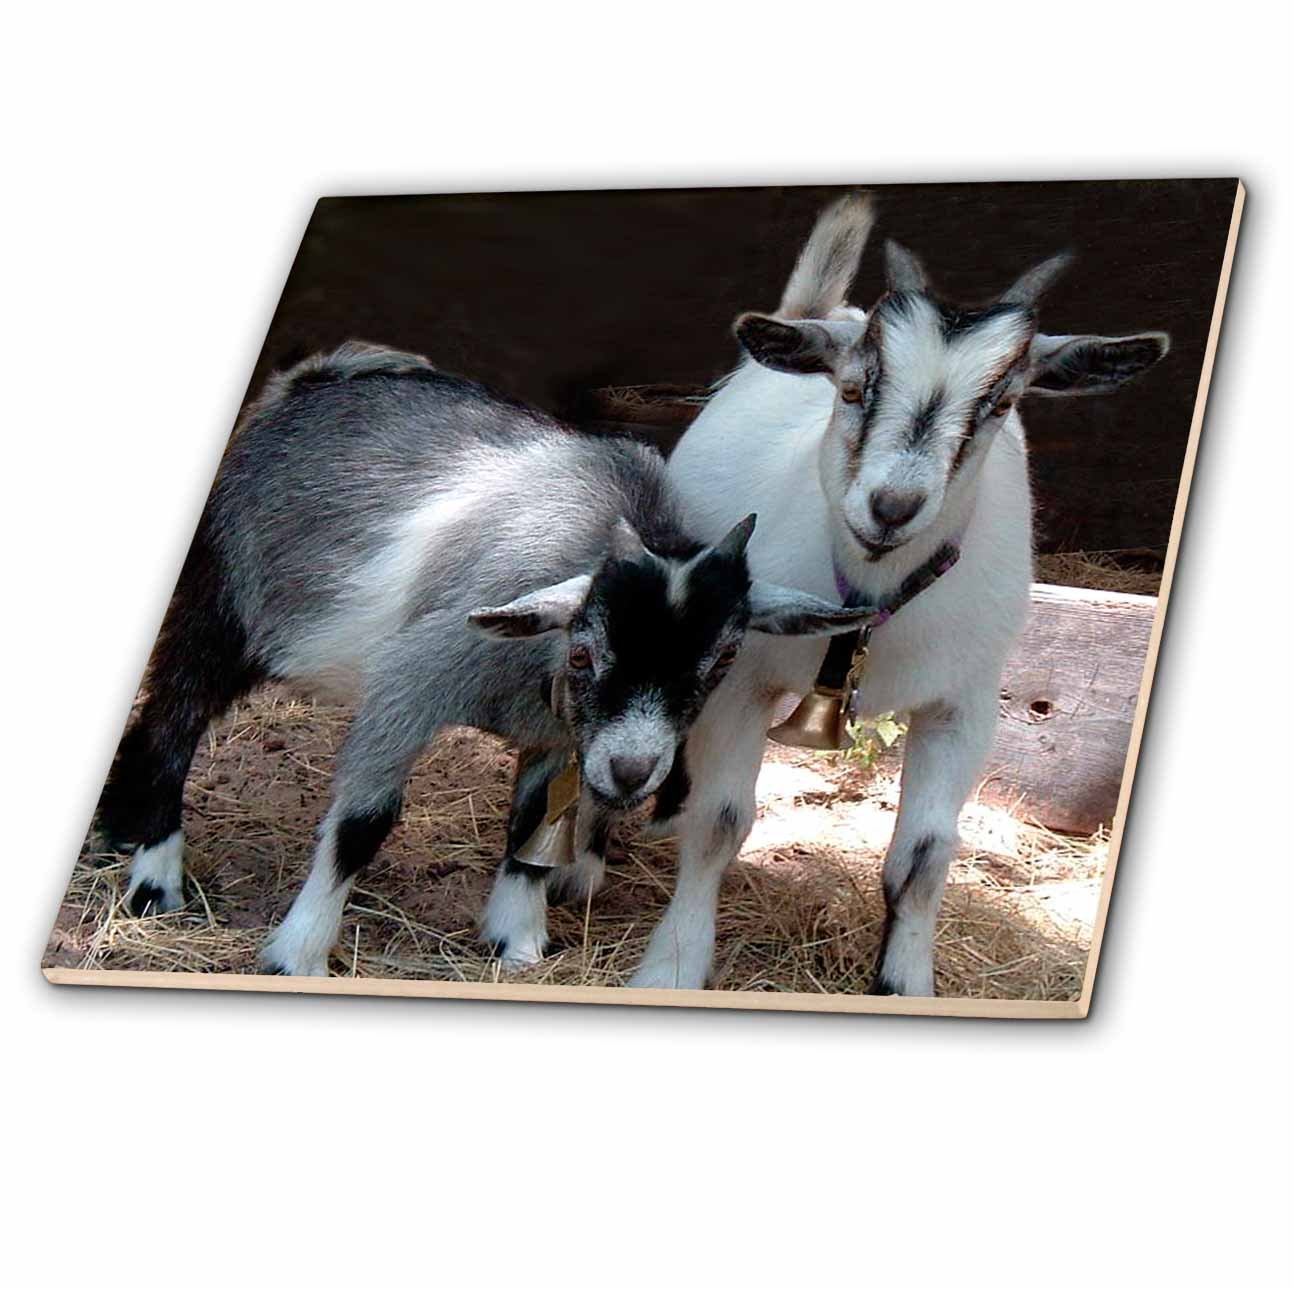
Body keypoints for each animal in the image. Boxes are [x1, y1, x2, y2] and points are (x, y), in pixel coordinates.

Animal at [97, 342, 875, 976]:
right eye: (585, 651)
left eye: (722, 661)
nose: (631, 772)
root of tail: (311, 380)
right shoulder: (410, 686)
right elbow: (360, 824)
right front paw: (299, 952)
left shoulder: (558, 737)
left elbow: (530, 829)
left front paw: (517, 940)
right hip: (224, 606)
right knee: (174, 720)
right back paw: (155, 876)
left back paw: (118, 832)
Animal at [633, 195, 1170, 993]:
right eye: (853, 388)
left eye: (1004, 403)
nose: (891, 507)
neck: (872, 599)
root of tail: (820, 313)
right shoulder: (744, 681)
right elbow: (721, 821)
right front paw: (672, 965)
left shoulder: (963, 706)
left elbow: (923, 858)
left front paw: (906, 981)